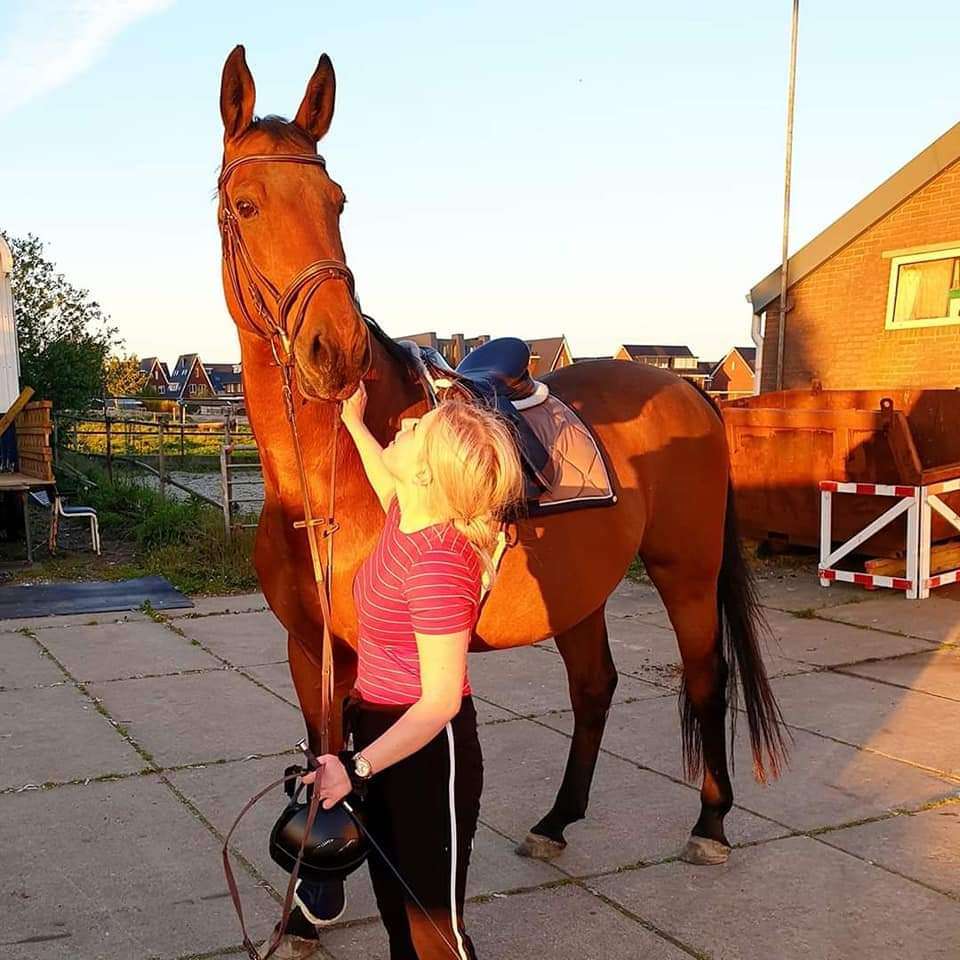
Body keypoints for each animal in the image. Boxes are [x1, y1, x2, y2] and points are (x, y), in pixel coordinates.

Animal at [216, 45, 786, 872]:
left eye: (338, 201)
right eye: (247, 205)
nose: (337, 348)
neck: (326, 493)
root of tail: (689, 390)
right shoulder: (308, 652)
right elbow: (328, 769)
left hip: (687, 568)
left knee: (707, 679)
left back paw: (710, 822)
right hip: (581, 588)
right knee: (595, 686)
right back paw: (557, 819)